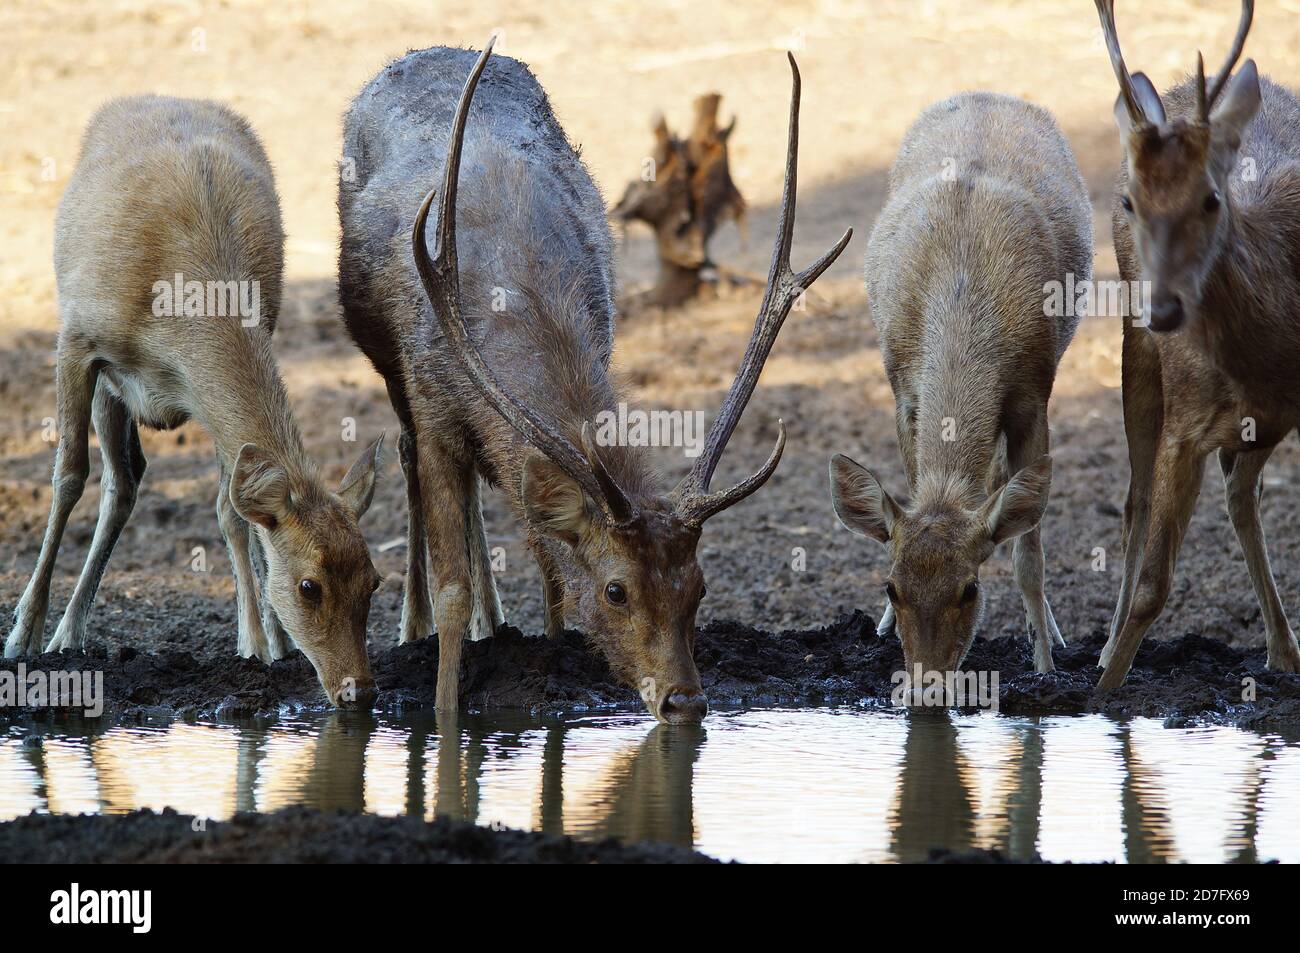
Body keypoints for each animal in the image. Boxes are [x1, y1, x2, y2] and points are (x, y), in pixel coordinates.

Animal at [3, 96, 385, 708]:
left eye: (374, 579)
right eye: (310, 585)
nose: (359, 689)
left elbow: (233, 508)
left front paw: (262, 643)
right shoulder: (77, 339)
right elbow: (66, 475)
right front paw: (21, 635)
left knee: (128, 479)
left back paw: (73, 632)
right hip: (106, 381)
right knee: (112, 478)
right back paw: (61, 633)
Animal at [338, 41, 850, 721]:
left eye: (699, 586)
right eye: (616, 591)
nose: (686, 699)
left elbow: (552, 576)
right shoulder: (432, 400)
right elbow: (451, 585)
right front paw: (446, 705)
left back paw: (491, 621)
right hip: (384, 363)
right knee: (407, 455)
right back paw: (413, 625)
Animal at [831, 92, 1092, 683]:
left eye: (969, 589)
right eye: (892, 587)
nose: (927, 685)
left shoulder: (1035, 393)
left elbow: (1028, 551)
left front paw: (1045, 665)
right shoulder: (903, 389)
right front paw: (883, 628)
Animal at [1093, 0, 1300, 691]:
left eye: (1211, 198)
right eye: (1131, 201)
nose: (1165, 308)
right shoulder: (1184, 422)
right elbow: (1154, 586)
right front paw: (1102, 693)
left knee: (1242, 494)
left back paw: (1284, 649)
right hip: (1133, 348)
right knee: (1135, 499)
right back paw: (1103, 647)